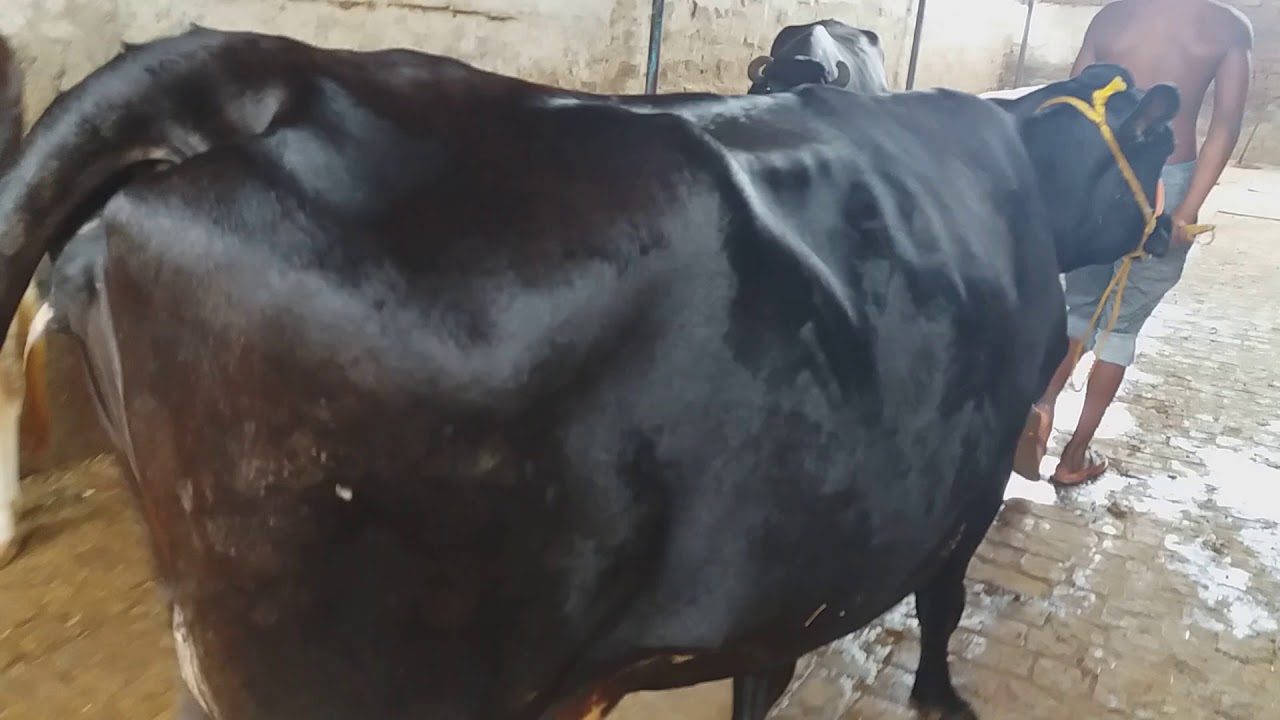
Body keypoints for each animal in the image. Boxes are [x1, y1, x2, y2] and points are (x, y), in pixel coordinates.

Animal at [0, 28, 1177, 720]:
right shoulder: (965, 482)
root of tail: (266, 71)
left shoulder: (790, 564)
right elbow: (942, 599)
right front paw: (940, 696)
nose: (1167, 230)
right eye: (1158, 148)